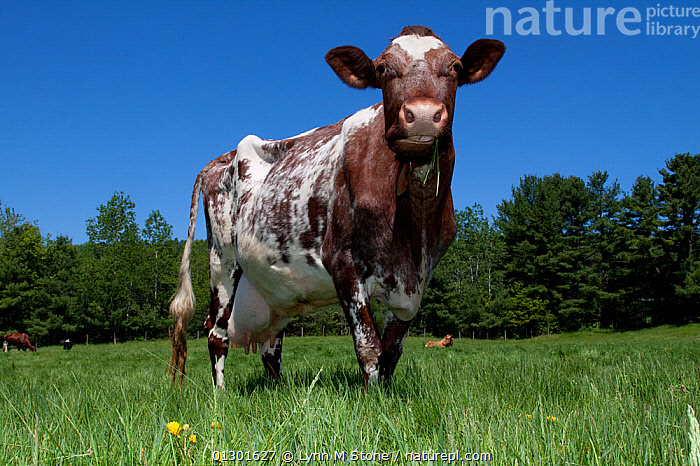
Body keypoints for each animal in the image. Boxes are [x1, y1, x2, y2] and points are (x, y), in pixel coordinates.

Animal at [168, 25, 505, 389]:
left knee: (272, 346)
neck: (414, 226)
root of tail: (223, 157)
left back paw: (277, 390)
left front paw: (385, 396)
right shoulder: (344, 264)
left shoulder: (417, 280)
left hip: (274, 286)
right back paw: (220, 395)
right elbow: (369, 348)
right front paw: (374, 402)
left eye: (455, 67)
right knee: (216, 333)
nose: (424, 116)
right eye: (383, 68)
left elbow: (391, 353)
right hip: (223, 259)